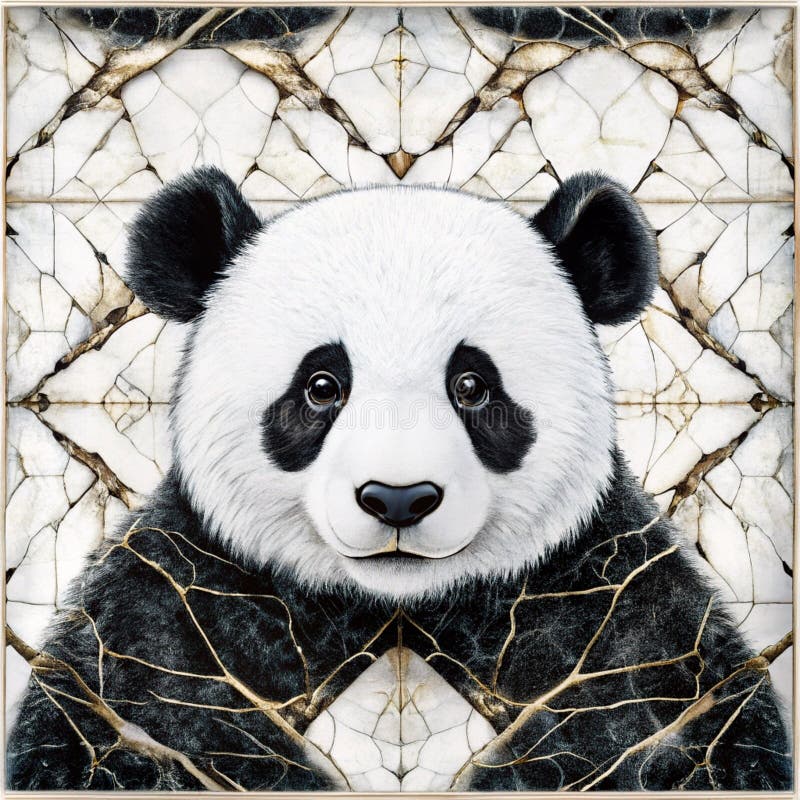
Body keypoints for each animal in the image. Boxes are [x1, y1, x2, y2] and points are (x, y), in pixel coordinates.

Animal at [8, 168, 791, 792]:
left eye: (472, 385)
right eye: (322, 386)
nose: (398, 499)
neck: (397, 607)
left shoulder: (607, 592)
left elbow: (662, 726)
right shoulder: (182, 594)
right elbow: (132, 722)